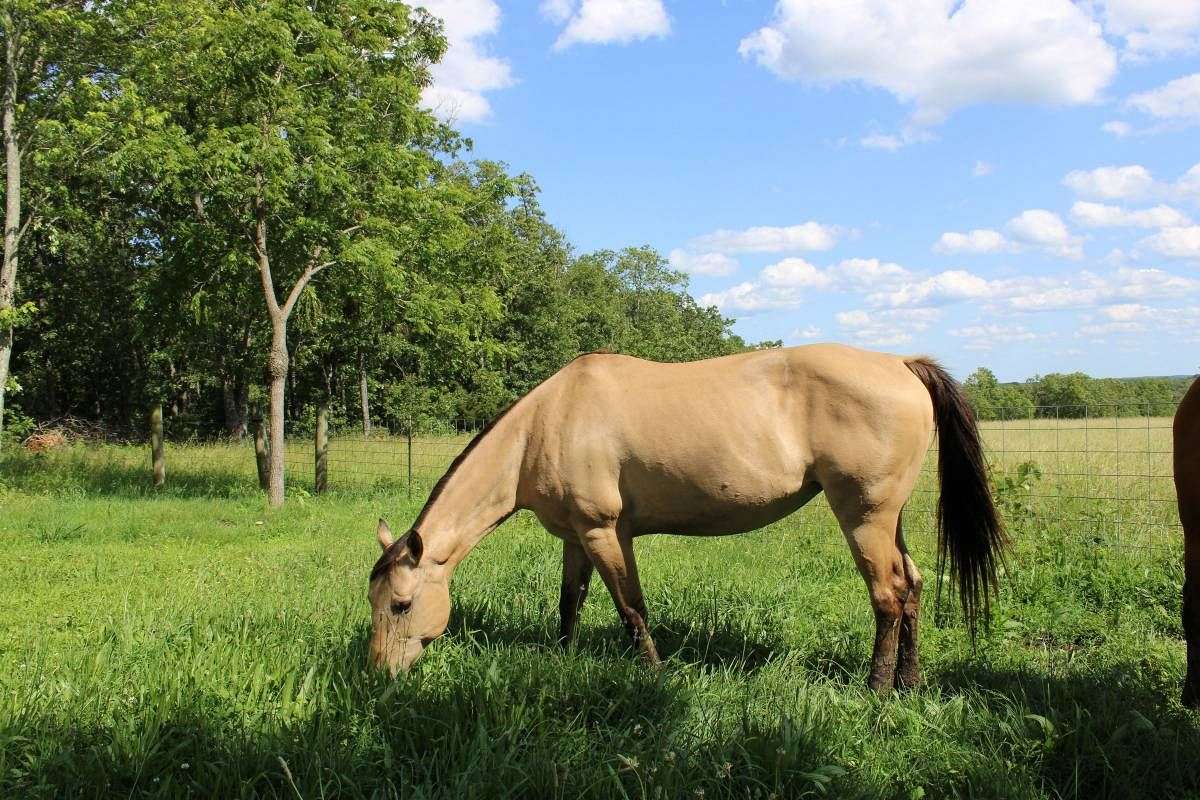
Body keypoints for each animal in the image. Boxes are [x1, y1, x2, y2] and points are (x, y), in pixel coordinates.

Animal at [367, 344, 1005, 693]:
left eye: (401, 604)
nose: (377, 676)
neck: (545, 426)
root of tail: (900, 364)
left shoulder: (605, 531)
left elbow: (631, 609)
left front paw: (654, 677)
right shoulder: (575, 537)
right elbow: (570, 603)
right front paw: (561, 659)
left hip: (863, 517)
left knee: (888, 595)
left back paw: (876, 688)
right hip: (888, 517)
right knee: (913, 585)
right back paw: (910, 682)